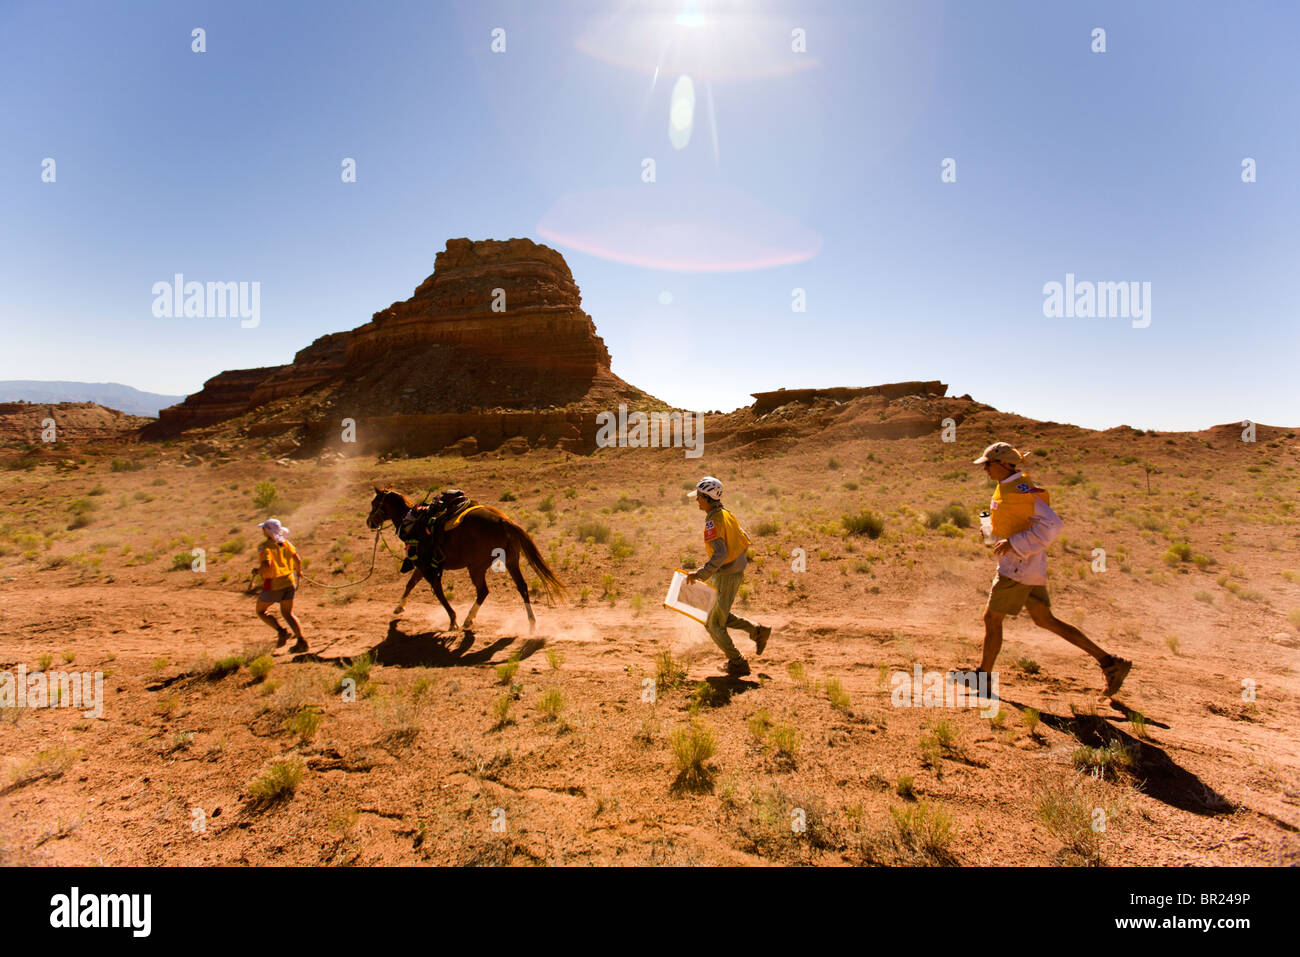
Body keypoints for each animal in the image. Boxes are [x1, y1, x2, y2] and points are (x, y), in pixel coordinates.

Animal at [367, 487, 566, 633]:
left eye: (374, 503)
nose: (369, 522)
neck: (412, 520)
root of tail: (503, 520)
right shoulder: (422, 565)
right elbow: (411, 583)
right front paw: (398, 607)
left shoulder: (425, 565)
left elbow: (437, 591)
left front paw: (452, 619)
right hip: (511, 561)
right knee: (522, 587)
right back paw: (531, 623)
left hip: (476, 567)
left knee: (483, 591)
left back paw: (468, 619)